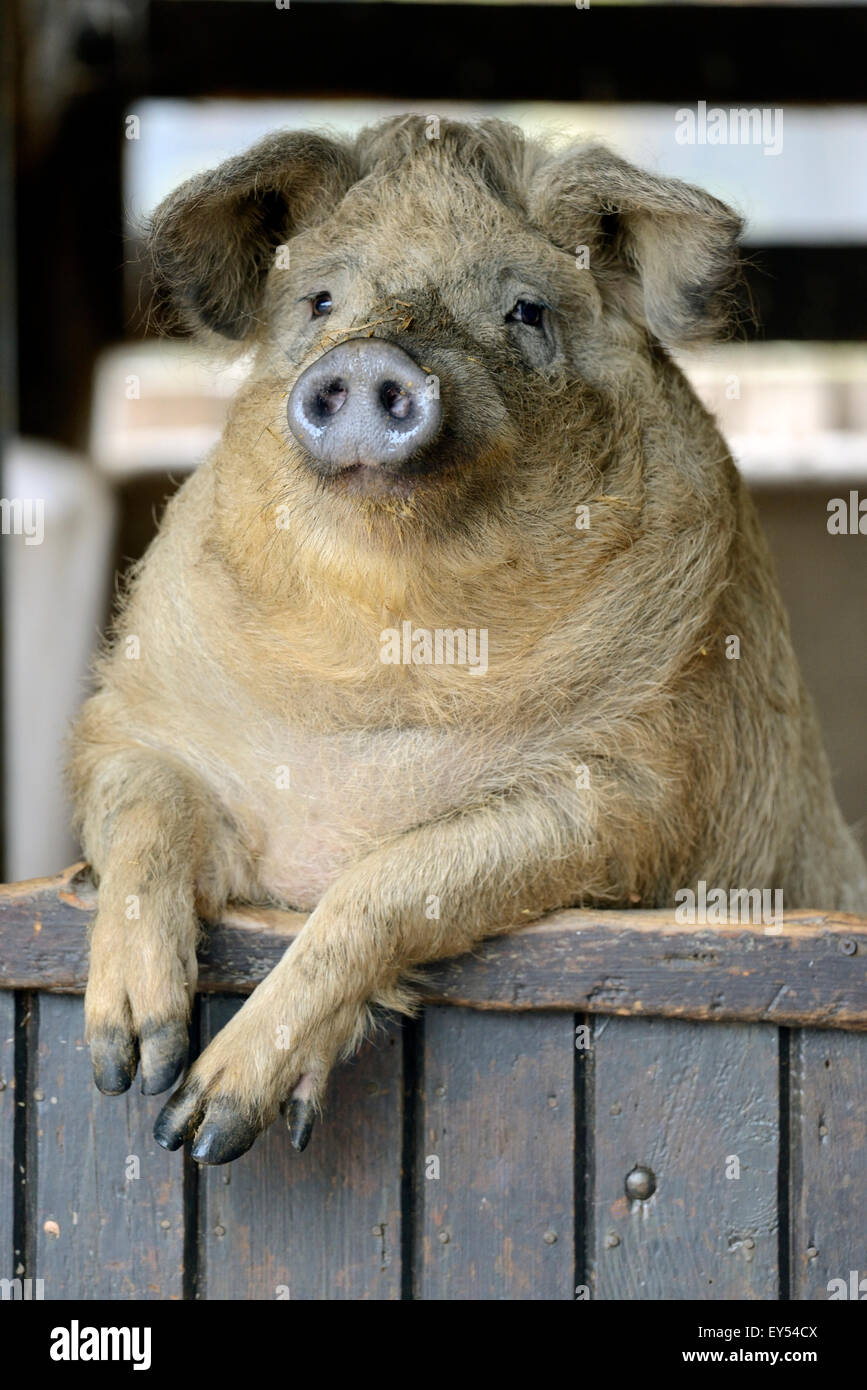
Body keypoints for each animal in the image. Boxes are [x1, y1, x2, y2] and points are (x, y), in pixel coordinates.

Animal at [67, 116, 866, 1165]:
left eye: (525, 311)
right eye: (320, 301)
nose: (372, 357)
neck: (394, 645)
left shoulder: (634, 797)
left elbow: (392, 878)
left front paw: (201, 1124)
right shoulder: (134, 718)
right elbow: (145, 810)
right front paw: (131, 1071)